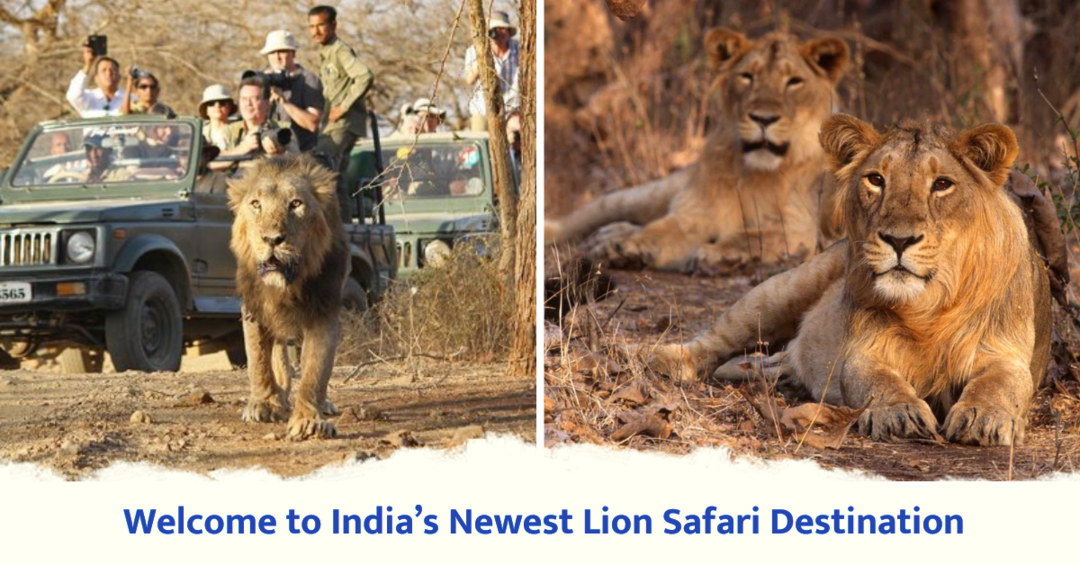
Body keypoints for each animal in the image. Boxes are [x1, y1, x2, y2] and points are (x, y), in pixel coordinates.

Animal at [227, 154, 350, 440]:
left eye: (295, 204)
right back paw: (279, 395)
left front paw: (308, 420)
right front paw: (263, 404)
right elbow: (258, 358)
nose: (272, 240)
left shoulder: (324, 308)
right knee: (278, 353)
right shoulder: (253, 305)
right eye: (256, 204)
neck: (287, 286)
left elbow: (315, 369)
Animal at [544, 28, 850, 273]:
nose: (763, 119)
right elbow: (662, 229)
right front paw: (627, 247)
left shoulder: (802, 228)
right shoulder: (696, 214)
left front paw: (719, 255)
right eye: (747, 77)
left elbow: (753, 236)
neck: (758, 173)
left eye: (794, 81)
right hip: (648, 194)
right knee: (591, 212)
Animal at [650, 116, 1052, 446]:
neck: (930, 306)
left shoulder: (1005, 352)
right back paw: (659, 358)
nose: (899, 240)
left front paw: (985, 415)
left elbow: (1000, 383)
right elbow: (875, 380)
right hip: (782, 290)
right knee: (716, 340)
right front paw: (897, 411)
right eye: (876, 179)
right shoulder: (863, 349)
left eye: (942, 184)